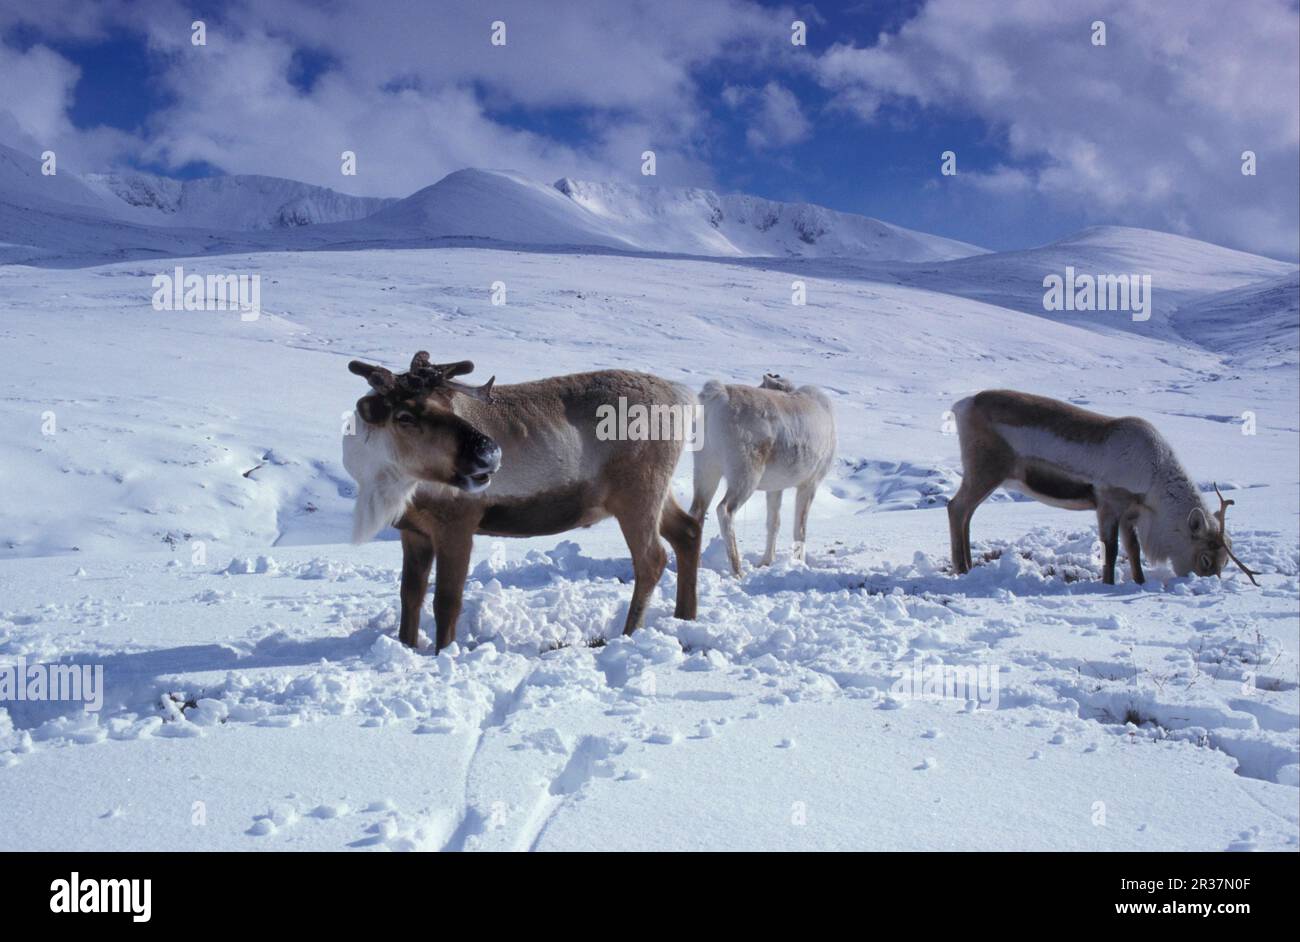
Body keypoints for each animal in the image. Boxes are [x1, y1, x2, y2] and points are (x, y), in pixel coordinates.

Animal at [342, 352, 702, 651]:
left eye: (449, 403)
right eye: (404, 416)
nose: (489, 453)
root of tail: (685, 398)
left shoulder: (458, 523)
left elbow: (446, 601)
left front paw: (443, 653)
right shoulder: (413, 531)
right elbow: (410, 596)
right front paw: (407, 646)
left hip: (639, 493)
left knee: (652, 558)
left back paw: (629, 634)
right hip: (656, 492)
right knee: (688, 530)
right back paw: (685, 617)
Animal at [690, 372, 837, 576]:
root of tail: (715, 396)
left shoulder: (775, 488)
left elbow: (773, 523)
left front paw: (766, 562)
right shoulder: (810, 483)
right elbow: (800, 529)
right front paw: (799, 563)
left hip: (706, 467)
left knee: (696, 512)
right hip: (745, 474)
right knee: (724, 510)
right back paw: (738, 571)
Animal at [947, 390, 1261, 586]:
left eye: (1225, 562)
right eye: (1206, 558)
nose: (1204, 584)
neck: (1154, 482)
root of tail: (962, 404)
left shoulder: (1130, 513)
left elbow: (1133, 550)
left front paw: (1139, 581)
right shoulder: (1108, 502)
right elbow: (1110, 548)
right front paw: (1108, 584)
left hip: (985, 476)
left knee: (966, 514)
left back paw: (969, 566)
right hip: (984, 471)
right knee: (956, 507)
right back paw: (961, 569)